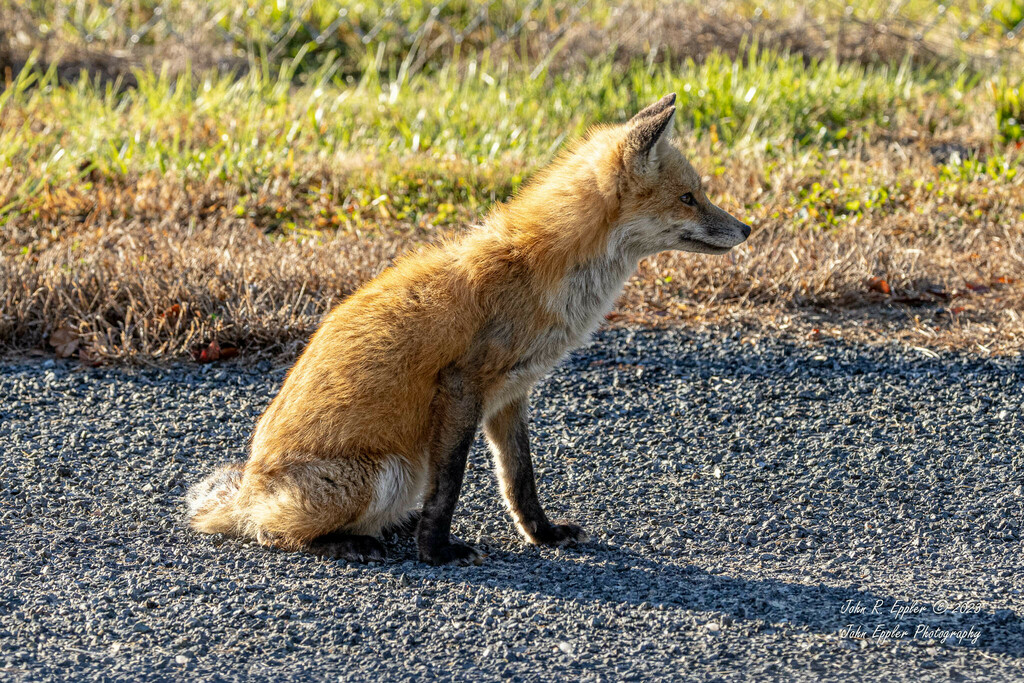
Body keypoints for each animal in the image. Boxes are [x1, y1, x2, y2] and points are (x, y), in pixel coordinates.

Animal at [186, 93, 751, 565]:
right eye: (689, 198)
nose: (748, 229)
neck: (537, 272)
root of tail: (246, 491)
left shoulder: (512, 394)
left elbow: (520, 479)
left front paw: (543, 535)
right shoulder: (462, 386)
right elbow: (450, 485)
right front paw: (437, 552)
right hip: (388, 473)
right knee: (271, 531)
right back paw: (347, 541)